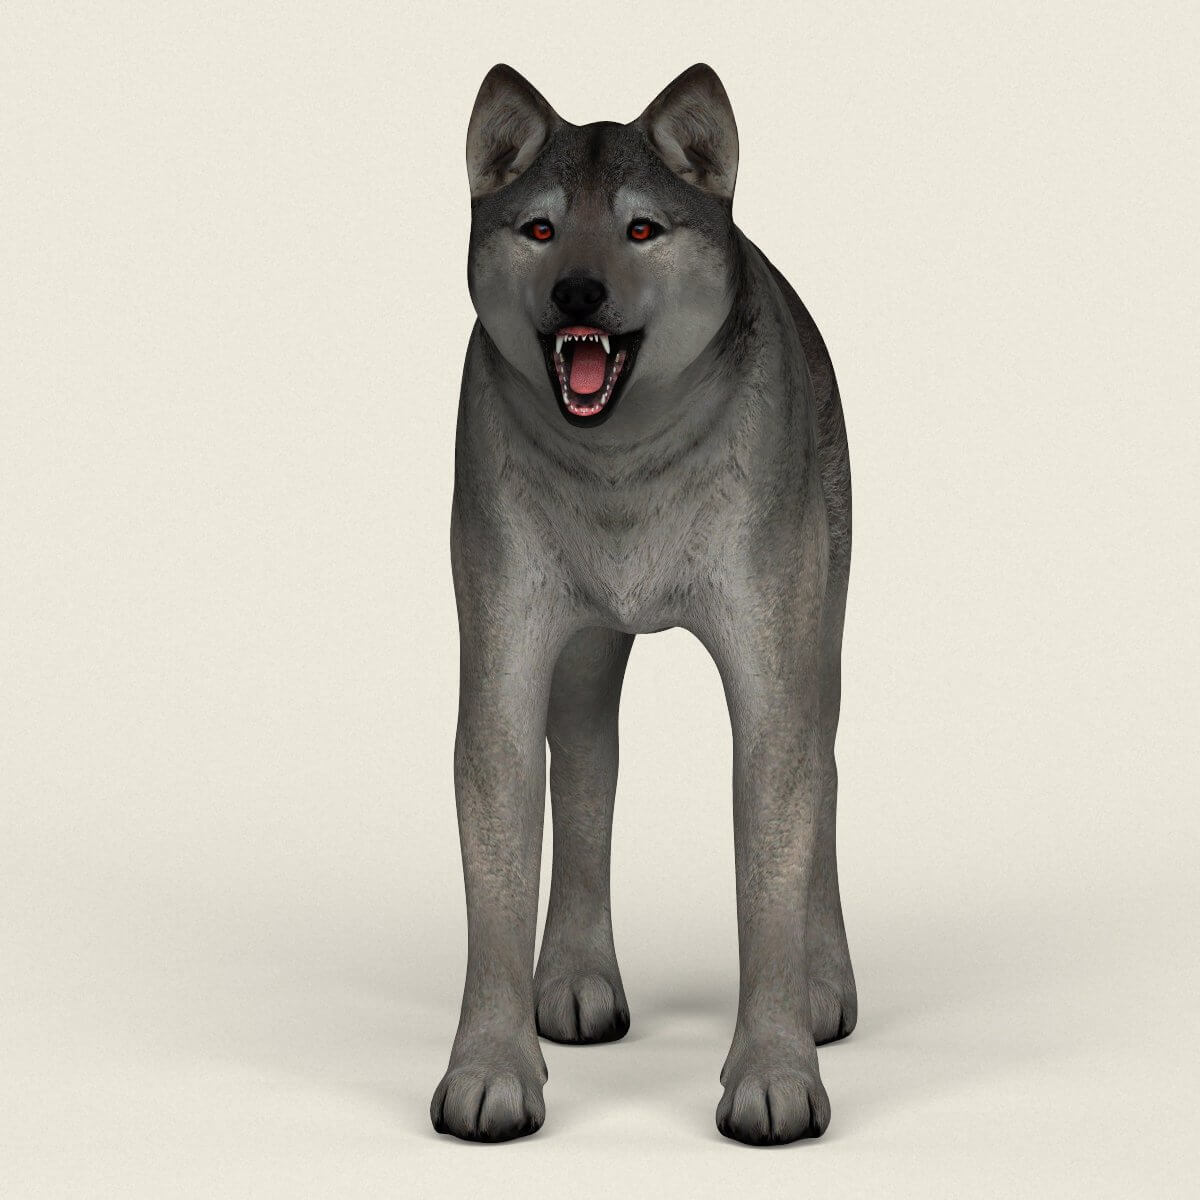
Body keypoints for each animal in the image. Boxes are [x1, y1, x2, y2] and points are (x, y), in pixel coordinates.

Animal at [430, 63, 856, 1145]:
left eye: (641, 229)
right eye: (540, 228)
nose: (579, 289)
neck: (620, 470)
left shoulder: (771, 680)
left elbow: (769, 878)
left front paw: (776, 1077)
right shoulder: (503, 662)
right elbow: (496, 884)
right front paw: (489, 1073)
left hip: (822, 636)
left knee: (827, 777)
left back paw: (828, 985)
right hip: (583, 650)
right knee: (586, 768)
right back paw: (579, 982)